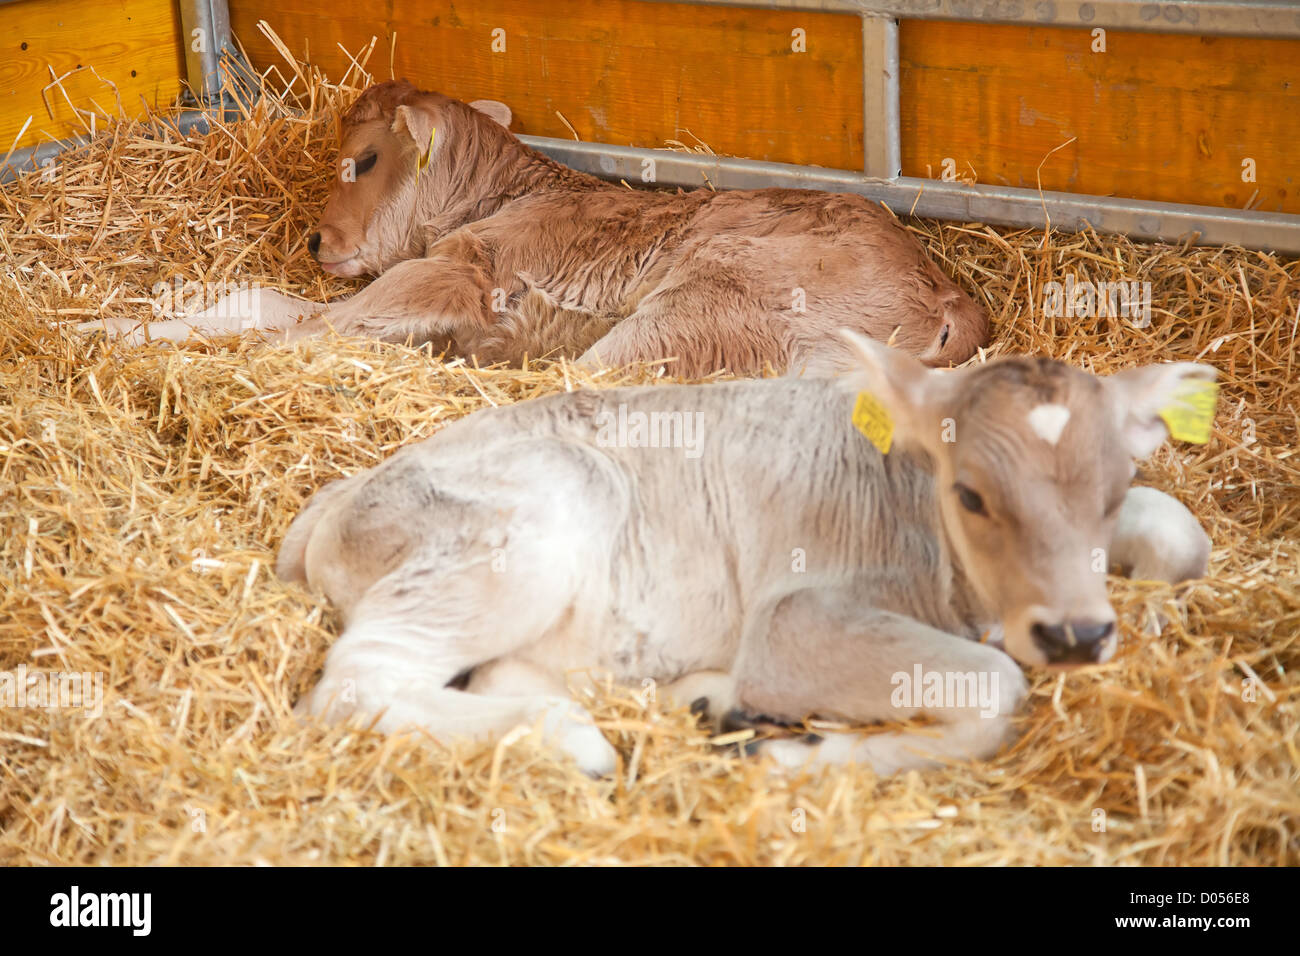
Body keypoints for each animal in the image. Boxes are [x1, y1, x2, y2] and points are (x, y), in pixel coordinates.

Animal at [82, 81, 988, 377]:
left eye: (364, 161)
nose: (316, 242)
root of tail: (948, 293)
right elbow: (269, 304)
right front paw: (126, 323)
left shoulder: (456, 272)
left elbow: (300, 326)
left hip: (702, 309)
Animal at [276, 334, 1215, 776]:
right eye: (972, 494)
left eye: (1109, 488)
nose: (1075, 634)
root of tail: (341, 493)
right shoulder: (797, 616)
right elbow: (995, 684)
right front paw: (807, 759)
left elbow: (1178, 528)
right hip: (532, 523)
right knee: (357, 681)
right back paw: (578, 742)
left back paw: (707, 704)